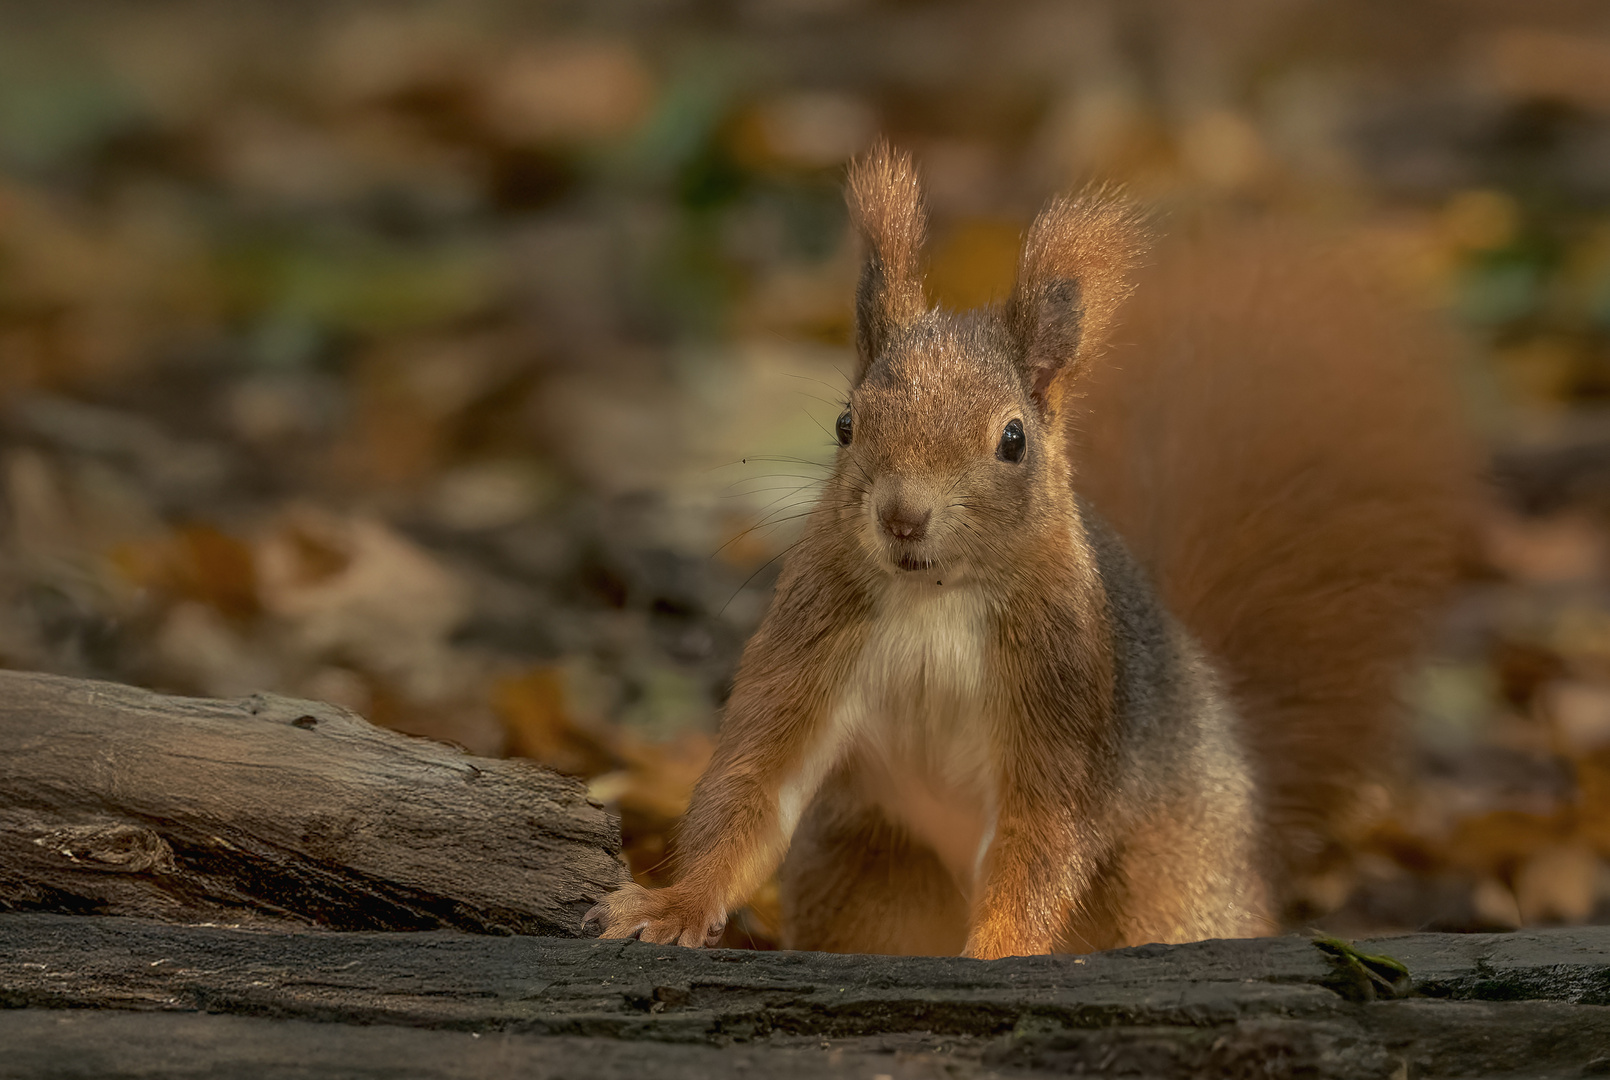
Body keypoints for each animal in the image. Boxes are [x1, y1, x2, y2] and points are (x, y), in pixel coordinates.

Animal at [586, 143, 1471, 958]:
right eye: (845, 424)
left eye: (1013, 440)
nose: (902, 516)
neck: (933, 599)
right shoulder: (808, 643)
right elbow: (751, 787)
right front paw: (668, 906)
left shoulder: (1063, 697)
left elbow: (1040, 842)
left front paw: (1000, 952)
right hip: (867, 865)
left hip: (1162, 886)